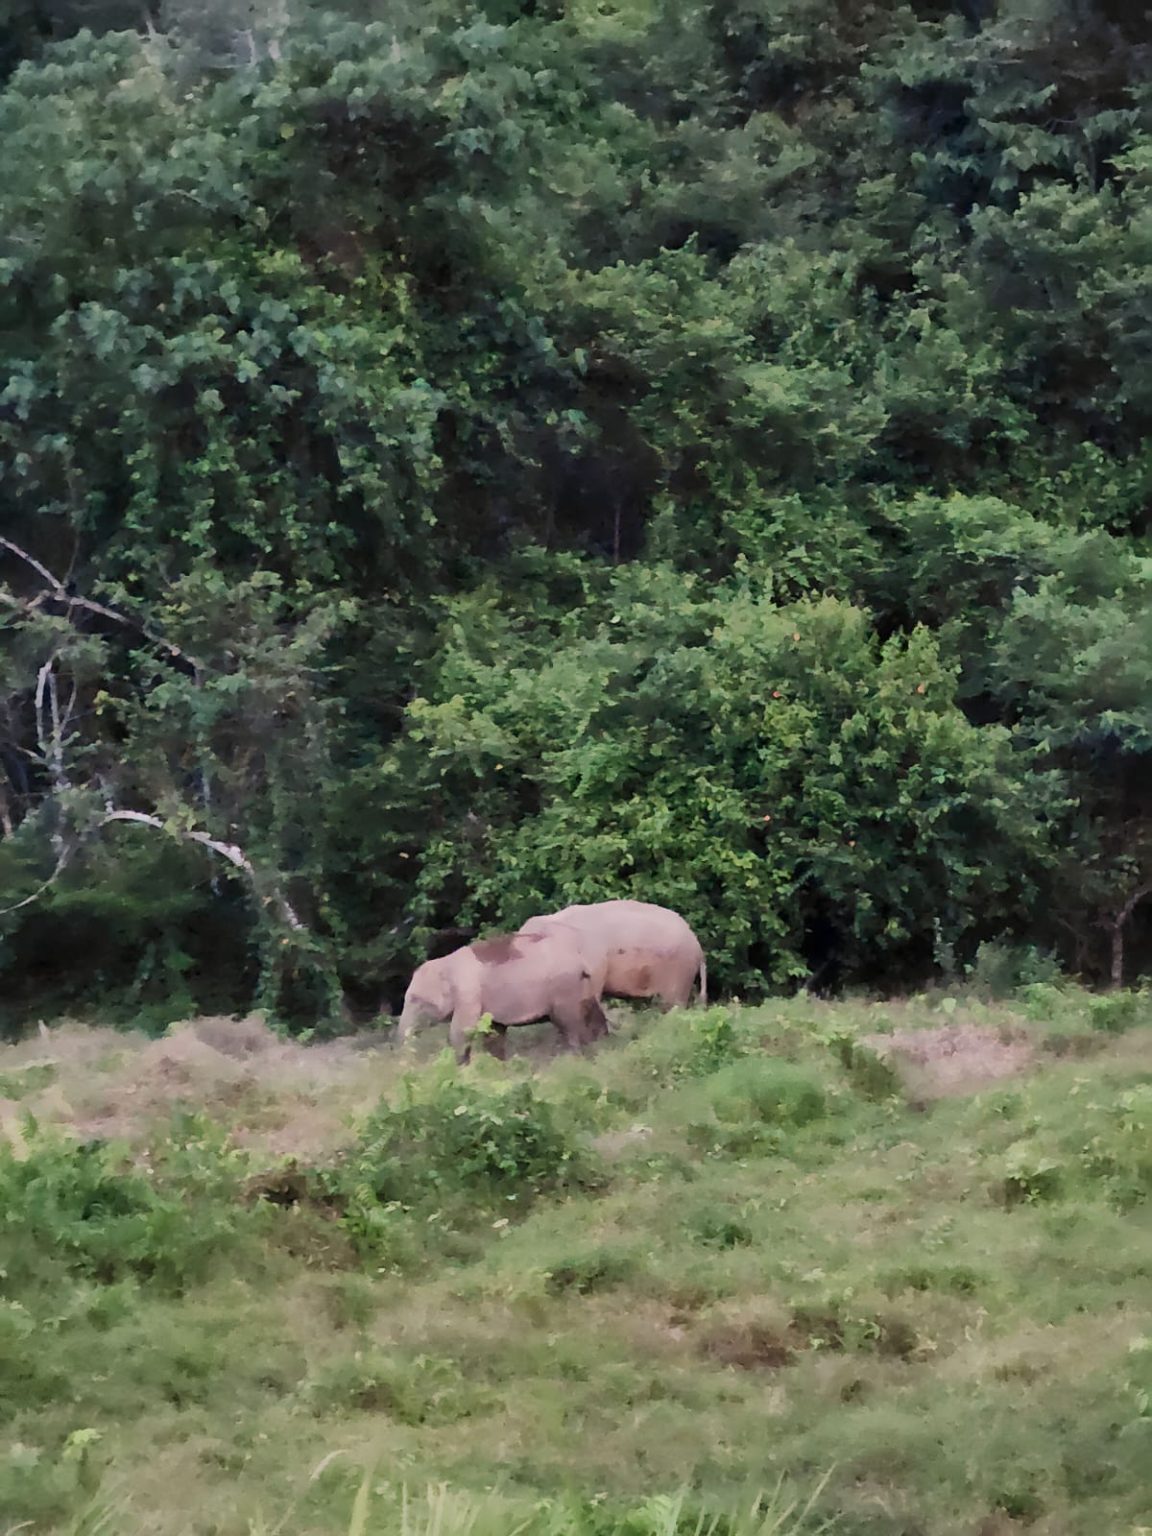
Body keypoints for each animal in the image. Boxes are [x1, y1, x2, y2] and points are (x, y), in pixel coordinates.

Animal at [396, 930, 609, 1064]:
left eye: (415, 999)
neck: (445, 962)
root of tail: (580, 959)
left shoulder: (468, 994)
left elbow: (462, 1031)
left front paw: (460, 1068)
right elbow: (494, 1032)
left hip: (565, 989)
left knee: (569, 1024)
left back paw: (573, 1059)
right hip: (585, 987)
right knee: (590, 1017)